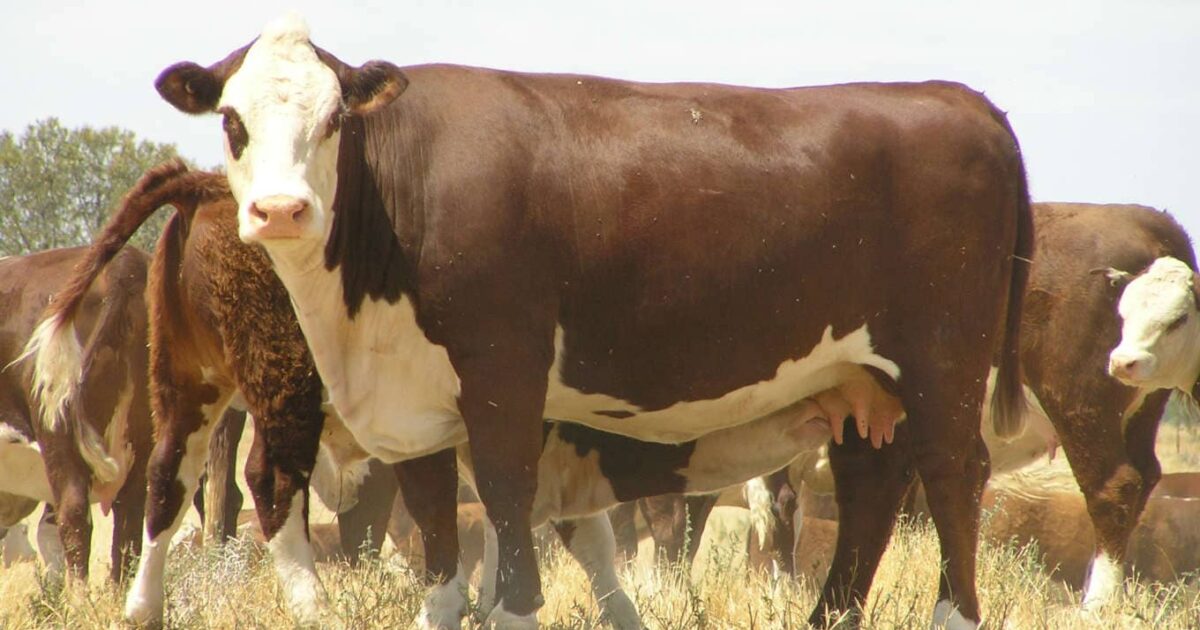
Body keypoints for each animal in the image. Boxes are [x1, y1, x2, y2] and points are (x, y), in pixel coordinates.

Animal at [149, 13, 1033, 629]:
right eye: (231, 120)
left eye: (334, 120)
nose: (280, 209)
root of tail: (959, 98)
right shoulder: (416, 408)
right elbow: (439, 549)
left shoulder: (503, 376)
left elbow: (507, 517)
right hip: (860, 382)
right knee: (872, 485)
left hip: (942, 363)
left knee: (953, 474)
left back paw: (954, 613)